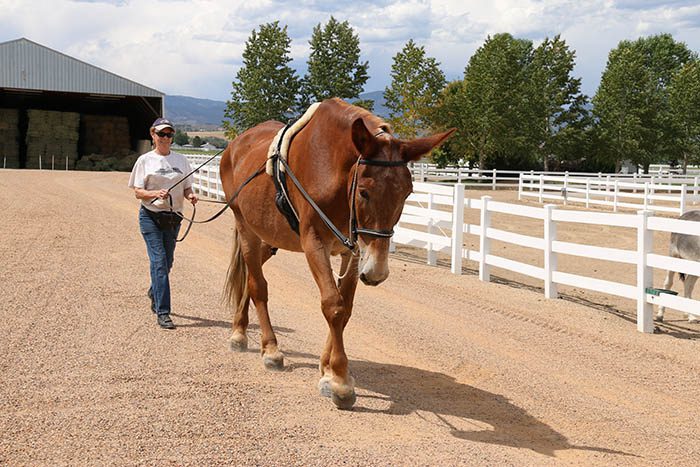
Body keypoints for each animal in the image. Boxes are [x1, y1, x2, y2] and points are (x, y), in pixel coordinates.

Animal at [219, 98, 454, 409]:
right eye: (364, 192)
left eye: (407, 193)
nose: (377, 272)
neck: (335, 173)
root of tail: (235, 146)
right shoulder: (314, 243)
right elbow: (333, 304)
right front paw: (341, 382)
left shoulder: (353, 251)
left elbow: (346, 308)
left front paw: (328, 370)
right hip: (246, 229)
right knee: (258, 286)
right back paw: (268, 348)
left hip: (268, 241)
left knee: (248, 277)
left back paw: (241, 330)